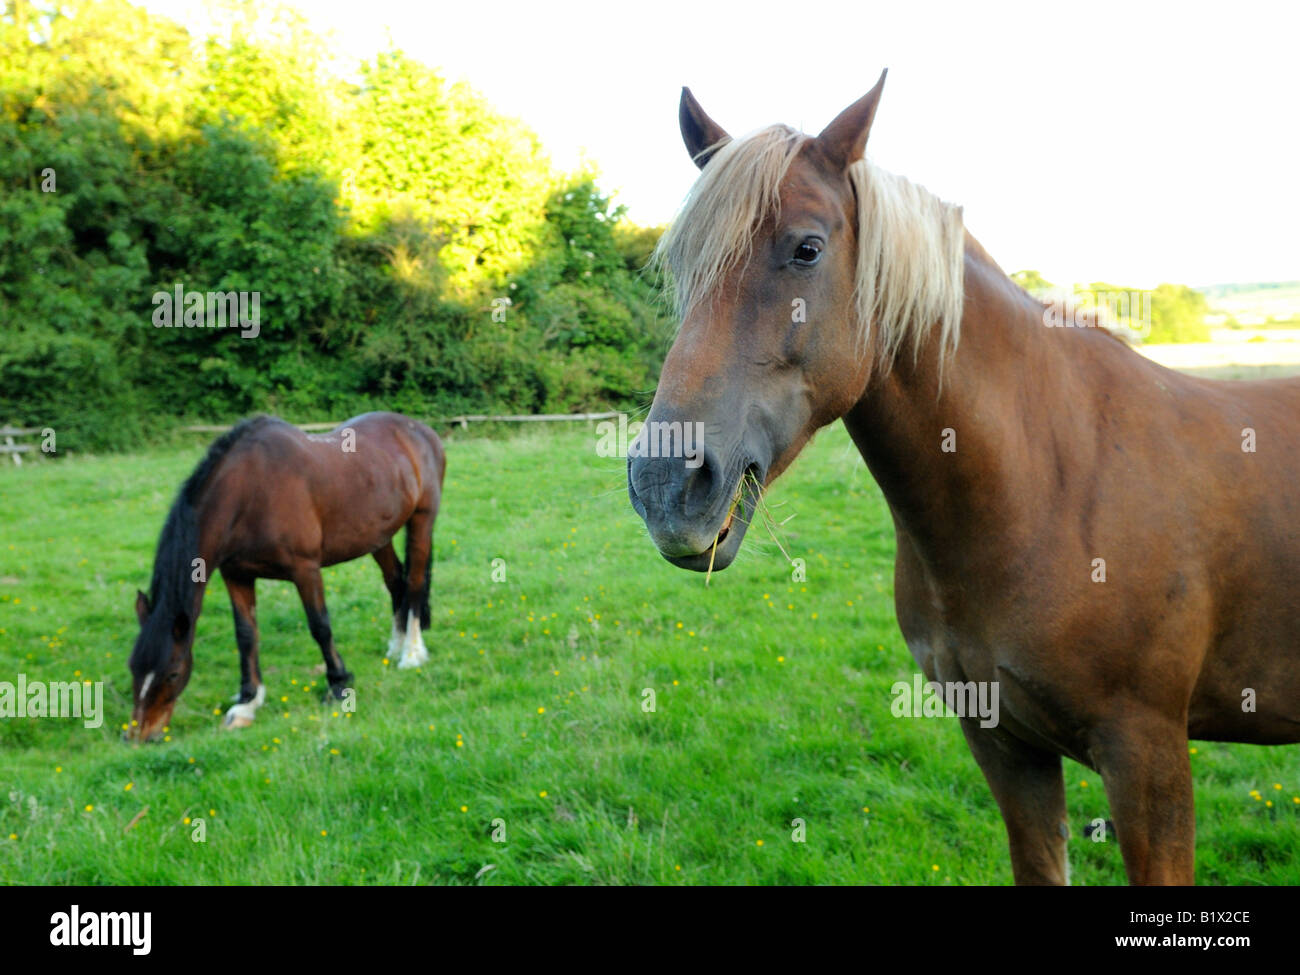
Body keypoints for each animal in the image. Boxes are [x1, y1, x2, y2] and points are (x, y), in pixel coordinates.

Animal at [128, 411, 445, 741]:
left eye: (173, 673)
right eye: (133, 668)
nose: (138, 735)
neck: (248, 493)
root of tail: (421, 431)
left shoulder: (305, 569)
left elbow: (320, 626)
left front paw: (338, 684)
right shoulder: (237, 575)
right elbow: (246, 634)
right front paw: (247, 702)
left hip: (422, 520)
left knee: (415, 583)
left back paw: (411, 654)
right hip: (378, 535)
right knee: (396, 581)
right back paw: (395, 645)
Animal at [628, 71, 1300, 885]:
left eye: (807, 249)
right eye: (679, 268)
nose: (666, 486)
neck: (1047, 486)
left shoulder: (1148, 757)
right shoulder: (1005, 744)